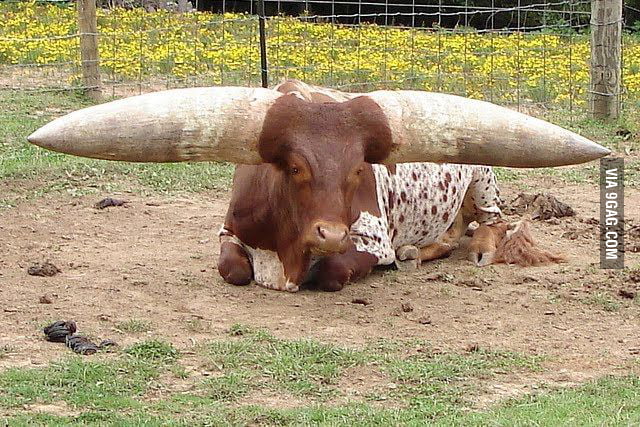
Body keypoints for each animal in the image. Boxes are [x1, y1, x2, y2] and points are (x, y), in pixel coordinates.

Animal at [28, 81, 609, 292]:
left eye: (358, 170)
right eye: (294, 168)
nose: (329, 233)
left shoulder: (369, 241)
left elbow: (332, 273)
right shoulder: (229, 229)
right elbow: (233, 268)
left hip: (483, 176)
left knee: (491, 222)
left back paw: (465, 249)